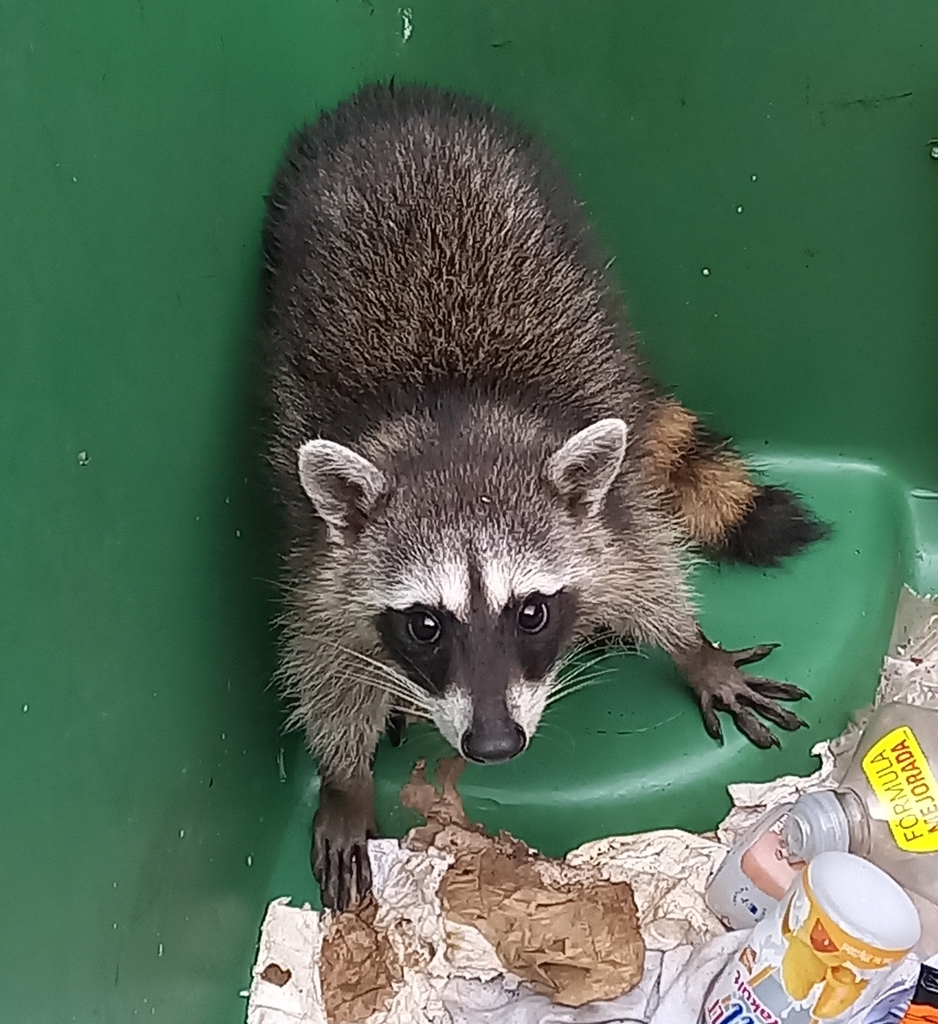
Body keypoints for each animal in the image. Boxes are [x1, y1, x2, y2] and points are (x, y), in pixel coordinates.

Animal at [260, 82, 827, 911]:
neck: (454, 436)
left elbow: (646, 566)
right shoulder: (318, 555)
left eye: (530, 612)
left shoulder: (611, 507)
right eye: (425, 625)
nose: (495, 745)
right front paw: (344, 777)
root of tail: (398, 99)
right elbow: (321, 655)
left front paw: (693, 650)